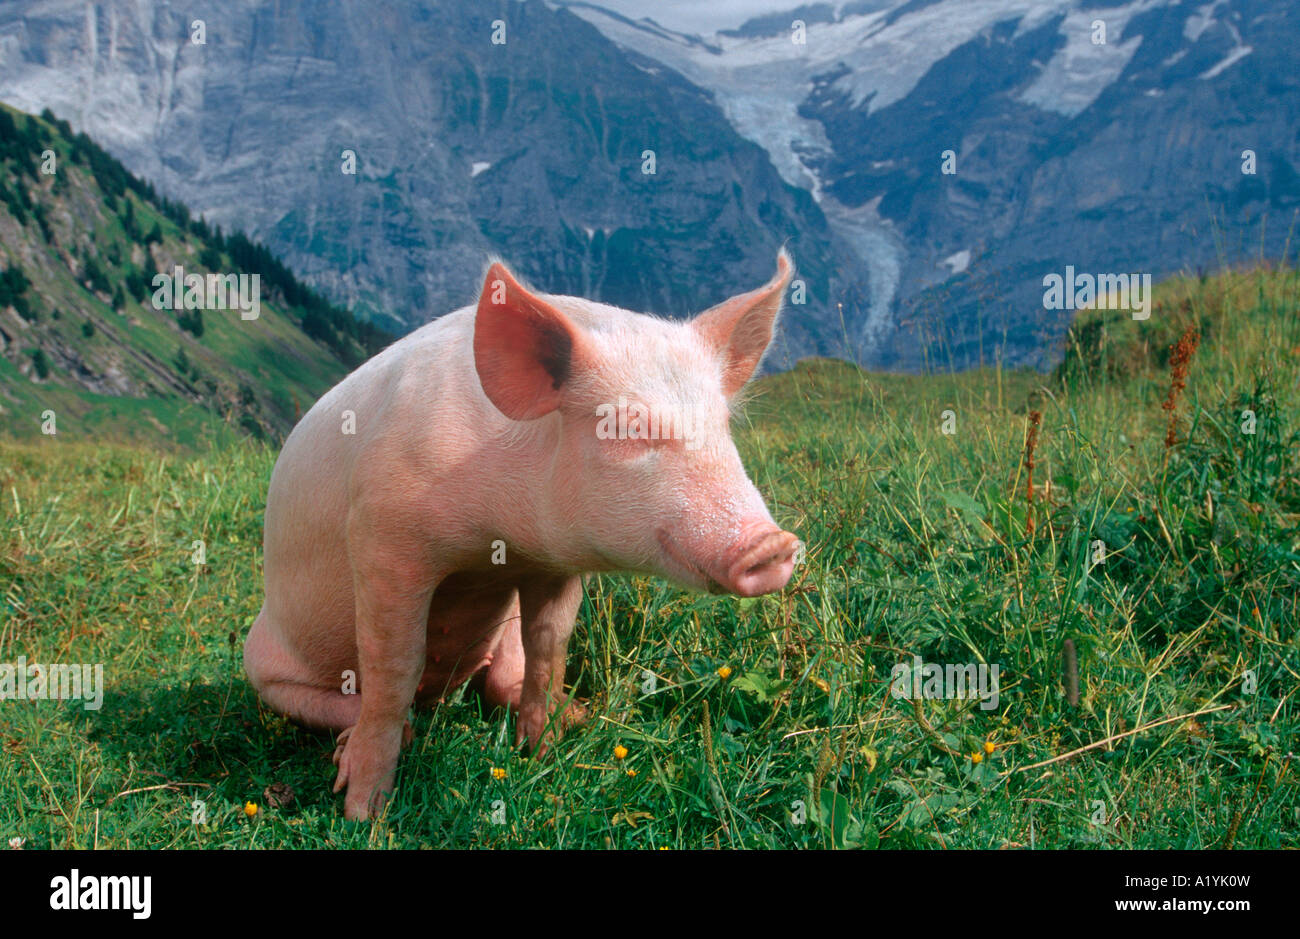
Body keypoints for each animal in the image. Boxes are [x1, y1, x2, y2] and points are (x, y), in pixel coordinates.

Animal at [244, 250, 800, 819]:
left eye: (723, 425)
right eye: (625, 427)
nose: (773, 545)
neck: (503, 536)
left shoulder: (556, 564)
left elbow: (549, 648)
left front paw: (543, 753)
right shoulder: (382, 535)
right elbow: (393, 668)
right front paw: (364, 813)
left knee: (501, 678)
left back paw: (578, 713)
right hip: (262, 664)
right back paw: (385, 737)